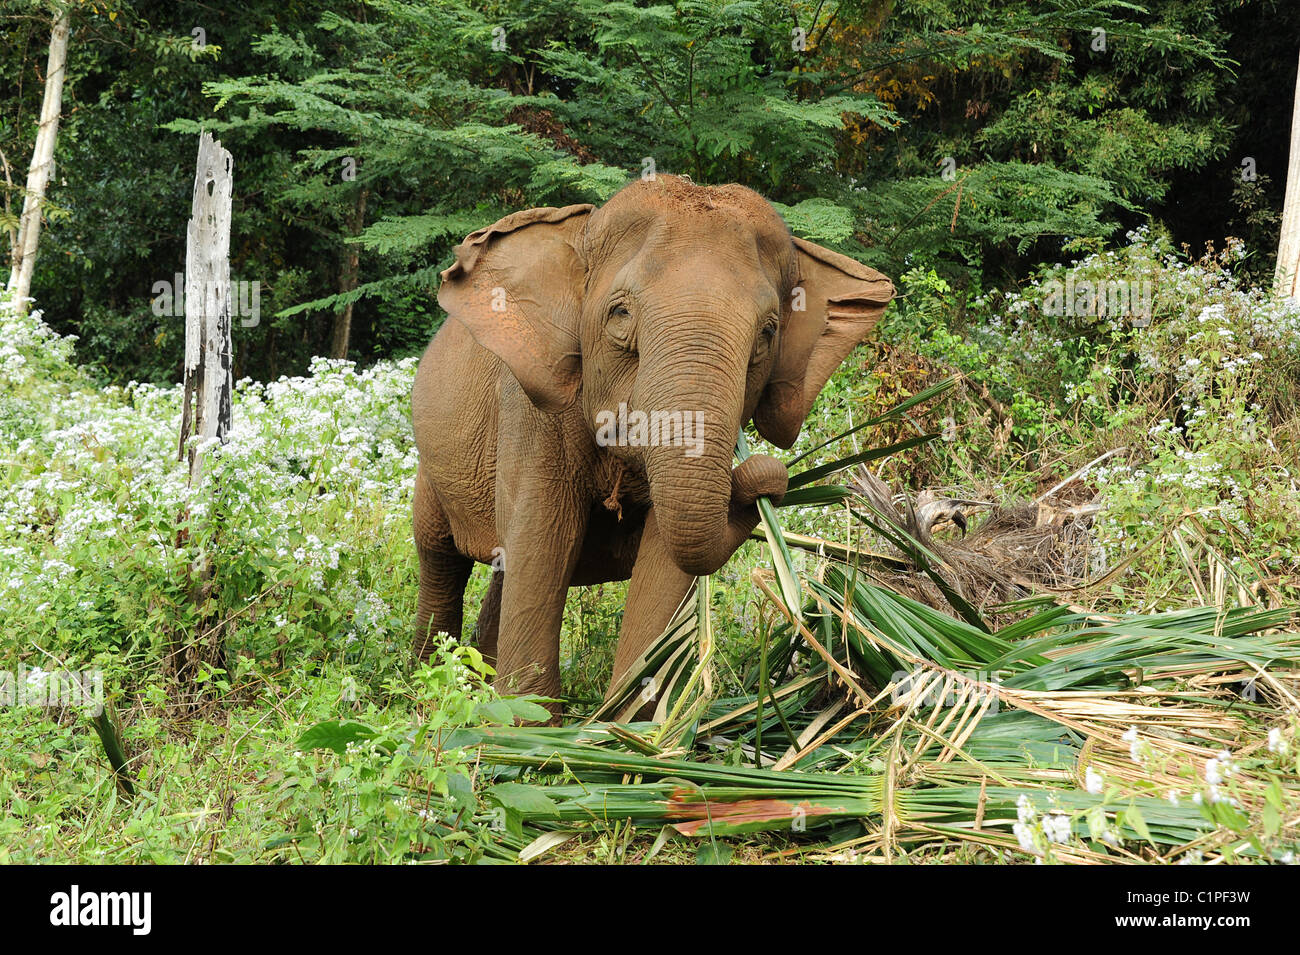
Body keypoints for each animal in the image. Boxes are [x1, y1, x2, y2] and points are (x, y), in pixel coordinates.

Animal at [411, 174, 894, 714]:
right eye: (620, 314)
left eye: (768, 332)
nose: (763, 477)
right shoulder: (532, 406)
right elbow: (544, 536)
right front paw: (526, 724)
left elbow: (664, 554)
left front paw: (622, 724)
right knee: (440, 556)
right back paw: (428, 686)